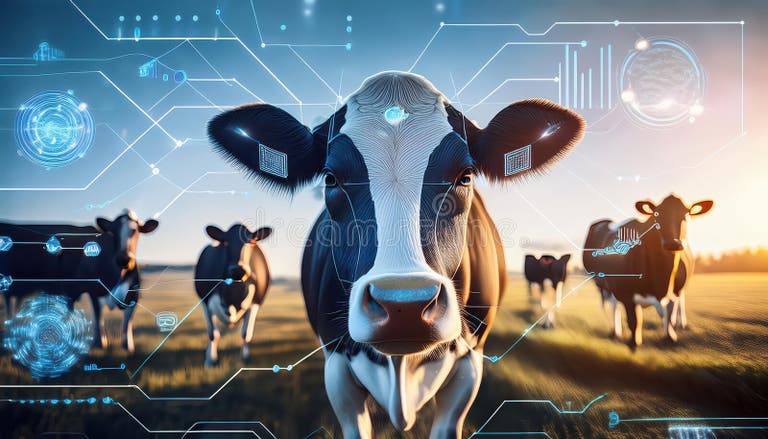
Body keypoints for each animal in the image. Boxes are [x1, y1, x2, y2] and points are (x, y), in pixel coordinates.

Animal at [0, 209, 159, 352]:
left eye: (135, 231)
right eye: (112, 231)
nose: (123, 259)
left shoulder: (134, 293)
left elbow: (127, 322)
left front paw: (128, 345)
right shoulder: (94, 290)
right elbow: (98, 315)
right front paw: (99, 343)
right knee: (9, 305)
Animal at [194, 223, 272, 366]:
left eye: (252, 241)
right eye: (226, 242)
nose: (238, 269)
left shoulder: (256, 302)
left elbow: (246, 334)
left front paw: (245, 357)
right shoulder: (205, 302)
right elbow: (212, 334)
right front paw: (211, 359)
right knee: (216, 333)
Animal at [583, 194, 713, 348]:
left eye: (686, 215)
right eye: (657, 215)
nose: (673, 243)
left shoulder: (674, 290)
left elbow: (670, 313)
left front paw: (670, 337)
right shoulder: (624, 293)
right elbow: (634, 321)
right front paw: (634, 342)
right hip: (601, 284)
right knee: (610, 305)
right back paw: (615, 332)